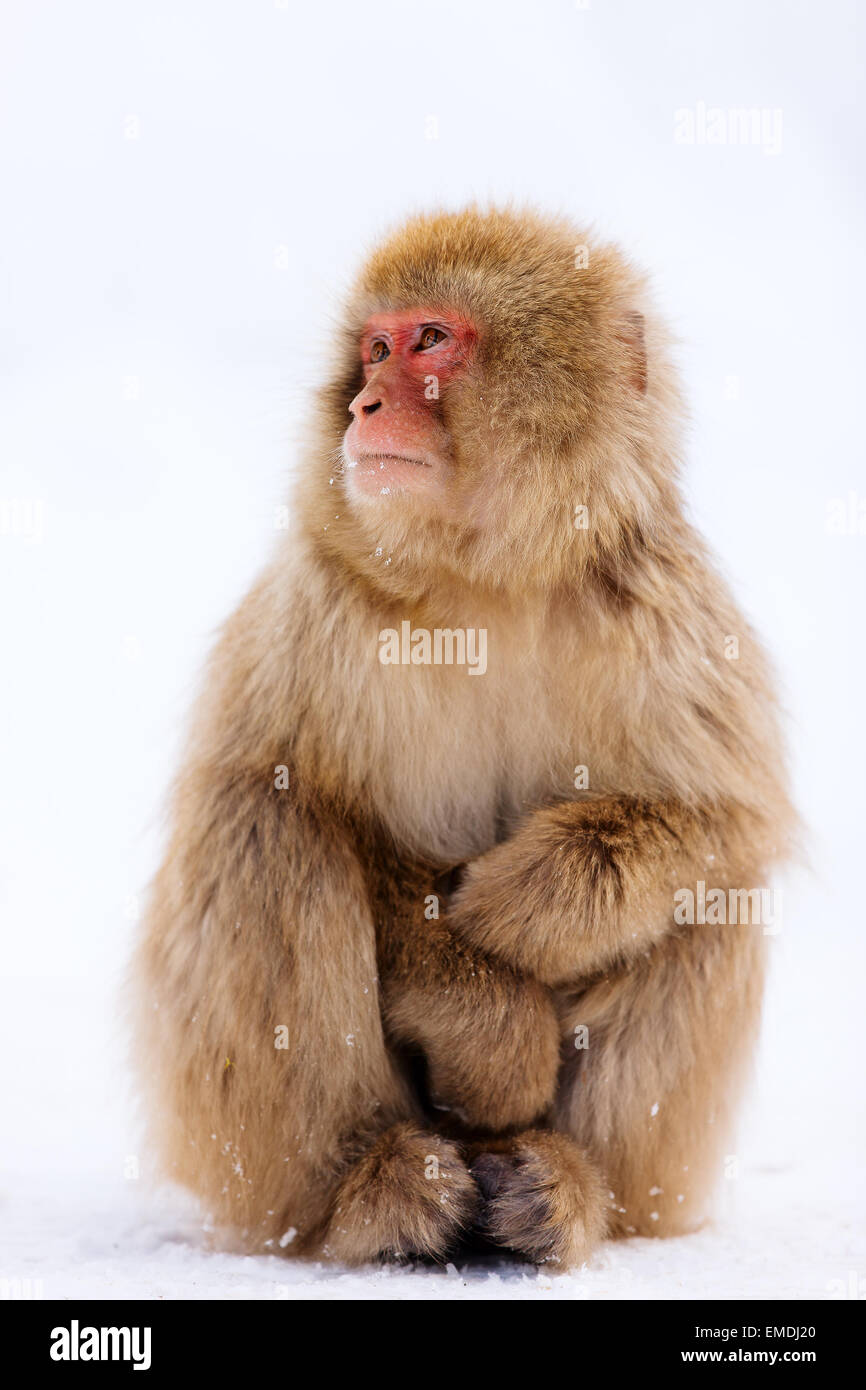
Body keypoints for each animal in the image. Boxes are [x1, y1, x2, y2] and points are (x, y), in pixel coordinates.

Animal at [131, 206, 794, 1268]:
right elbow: (298, 791)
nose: (364, 405)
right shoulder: (318, 607)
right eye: (374, 348)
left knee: (712, 897)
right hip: (249, 1169)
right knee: (265, 823)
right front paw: (491, 1020)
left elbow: (720, 820)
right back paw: (373, 1192)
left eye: (431, 340)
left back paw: (566, 1191)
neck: (486, 583)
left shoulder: (666, 605)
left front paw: (521, 909)